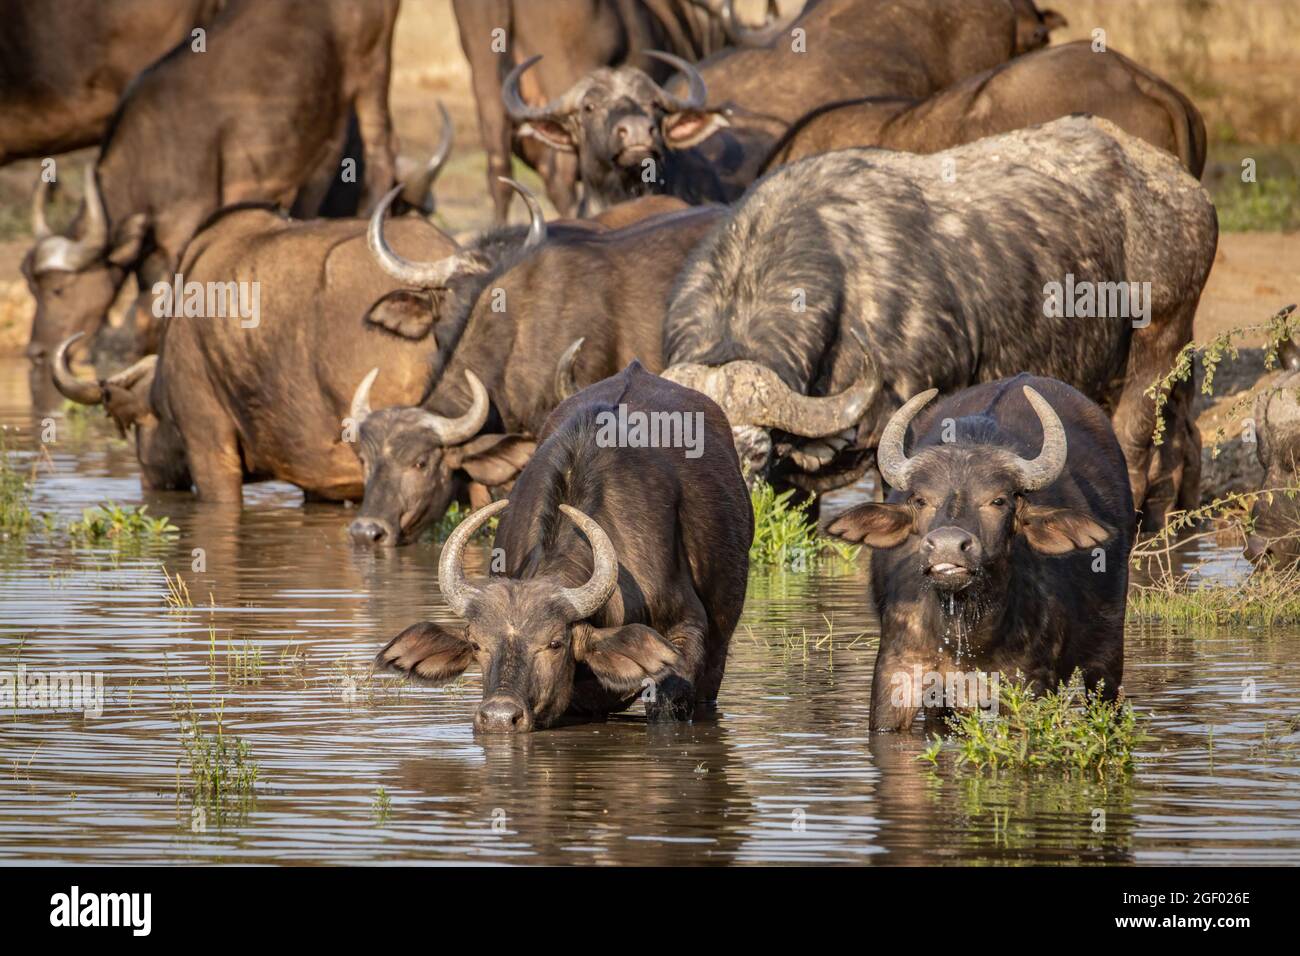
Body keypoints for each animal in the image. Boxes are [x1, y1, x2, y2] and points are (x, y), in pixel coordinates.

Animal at [827, 376, 1133, 732]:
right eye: (920, 499)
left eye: (998, 500)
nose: (947, 545)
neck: (965, 628)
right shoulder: (896, 674)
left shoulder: (1031, 685)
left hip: (1108, 651)